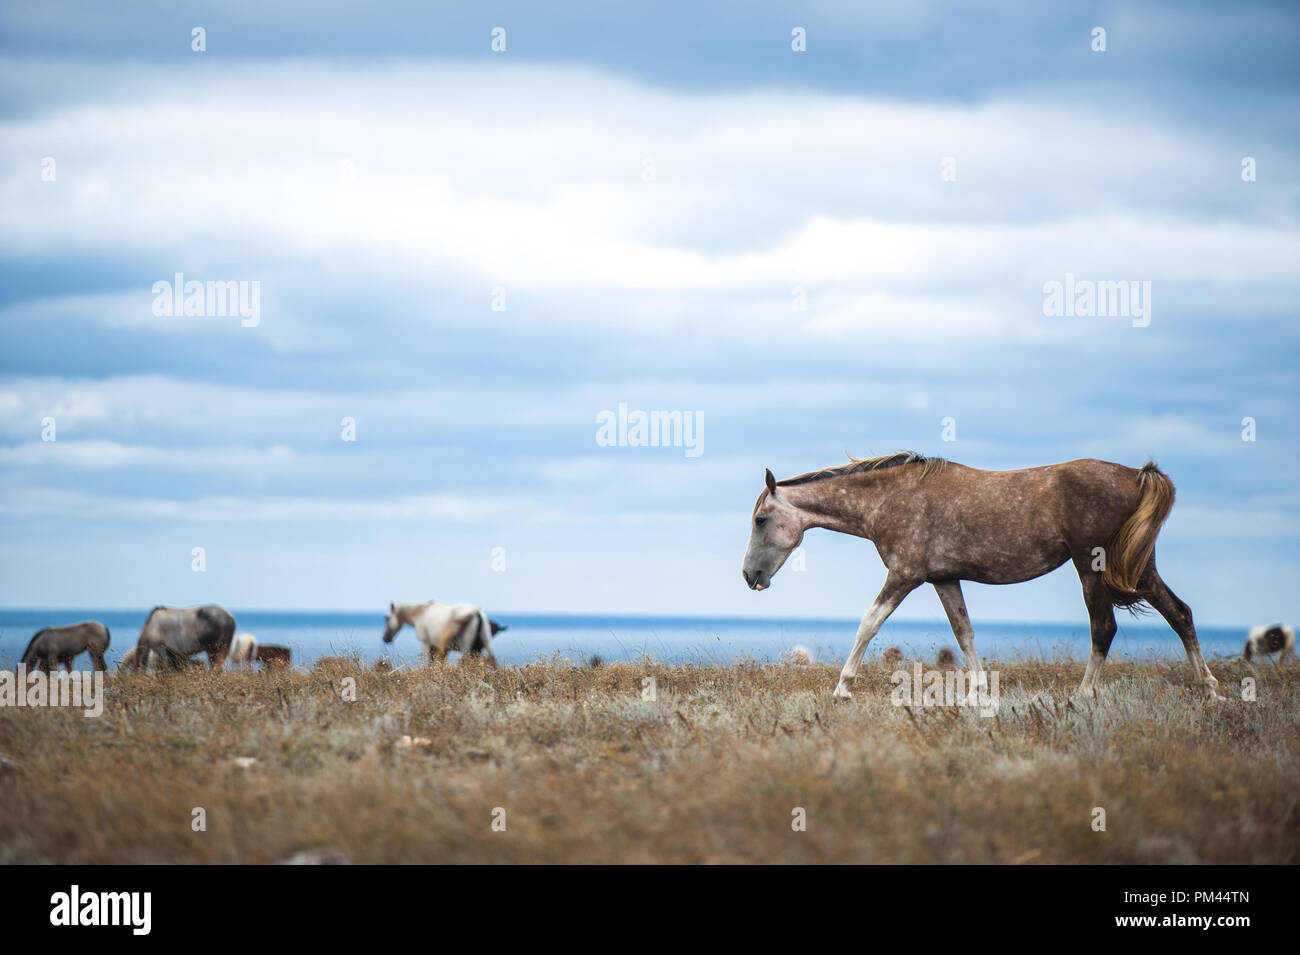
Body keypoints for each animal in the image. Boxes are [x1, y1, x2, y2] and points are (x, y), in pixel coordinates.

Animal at [741, 452, 1223, 702]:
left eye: (761, 519)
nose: (749, 575)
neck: (892, 497)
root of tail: (1138, 476)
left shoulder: (904, 574)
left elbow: (868, 624)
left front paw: (843, 688)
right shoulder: (943, 578)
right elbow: (964, 632)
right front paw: (976, 693)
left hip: (1092, 567)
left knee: (1104, 628)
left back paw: (1084, 694)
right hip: (1141, 569)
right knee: (1180, 614)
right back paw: (1210, 687)